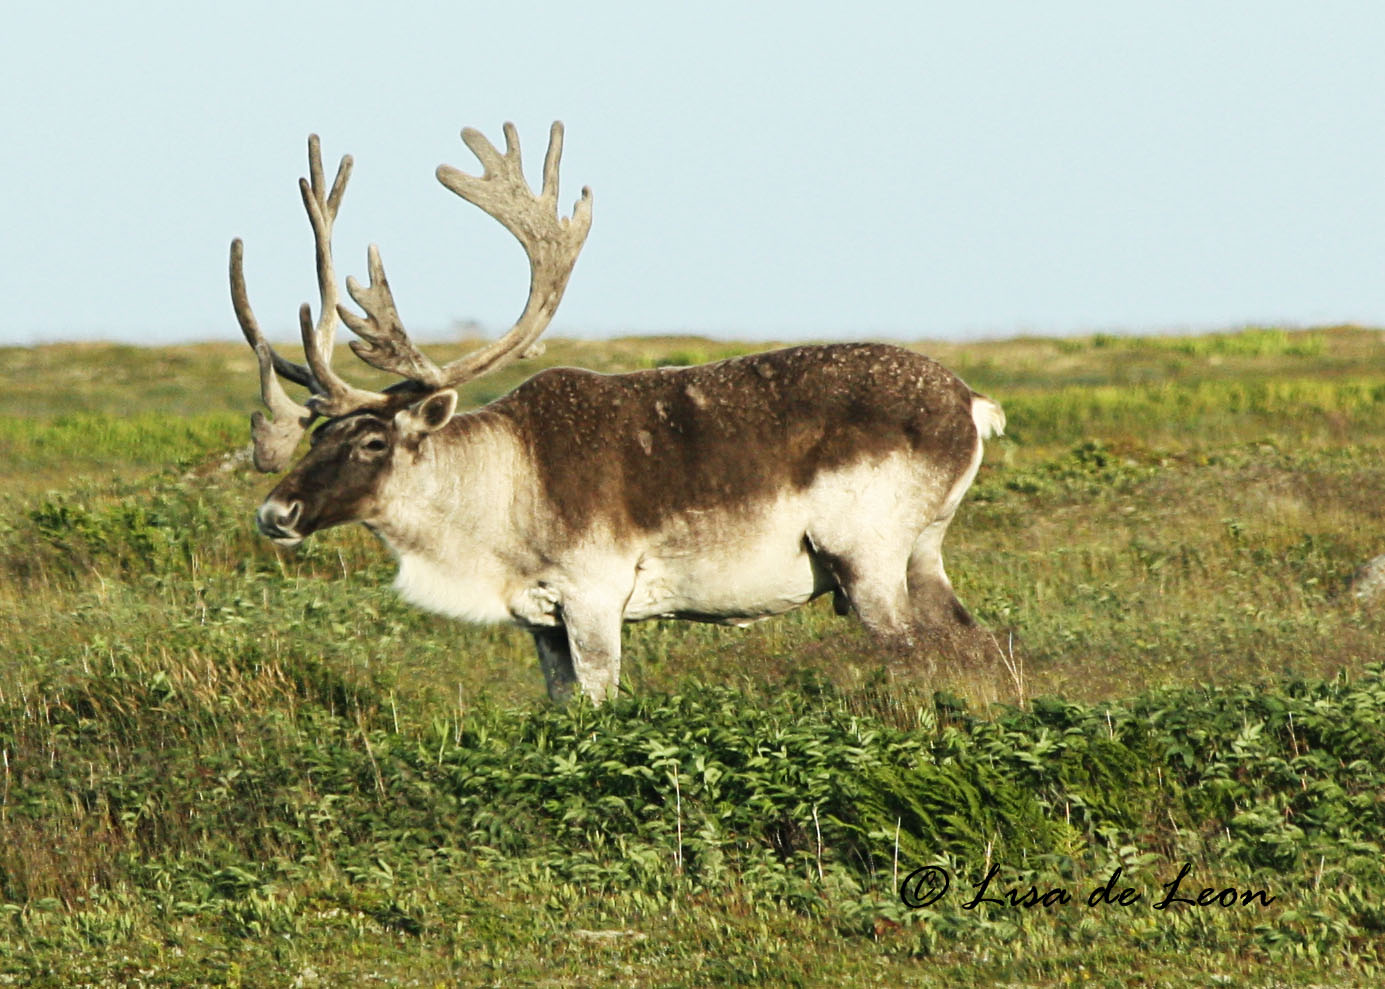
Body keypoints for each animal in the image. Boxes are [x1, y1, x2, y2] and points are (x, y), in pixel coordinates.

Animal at [231, 120, 1005, 704]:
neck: (496, 501)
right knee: (975, 642)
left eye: (372, 441)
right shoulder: (539, 621)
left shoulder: (595, 595)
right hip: (924, 550)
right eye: (317, 433)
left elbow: (602, 702)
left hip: (866, 556)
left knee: (913, 650)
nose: (276, 512)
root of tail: (972, 404)